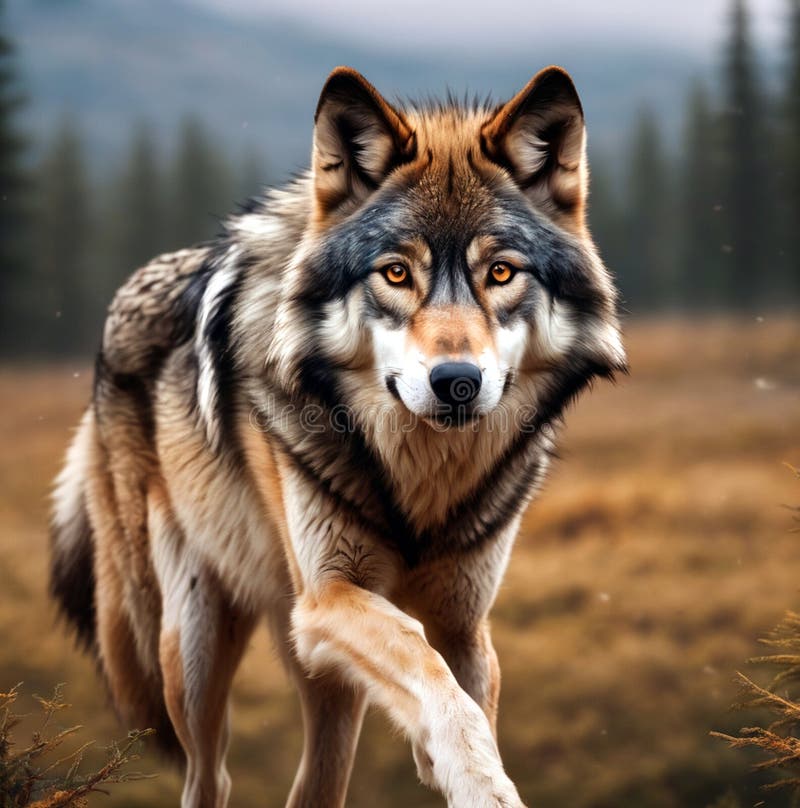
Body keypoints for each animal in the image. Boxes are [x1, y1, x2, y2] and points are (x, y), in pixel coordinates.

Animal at [50, 66, 625, 807]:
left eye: (500, 272)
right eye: (396, 273)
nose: (457, 381)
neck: (421, 486)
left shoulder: (464, 623)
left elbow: (458, 687)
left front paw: (452, 767)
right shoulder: (330, 596)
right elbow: (427, 668)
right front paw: (474, 777)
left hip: (314, 665)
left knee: (315, 781)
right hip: (195, 646)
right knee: (209, 774)